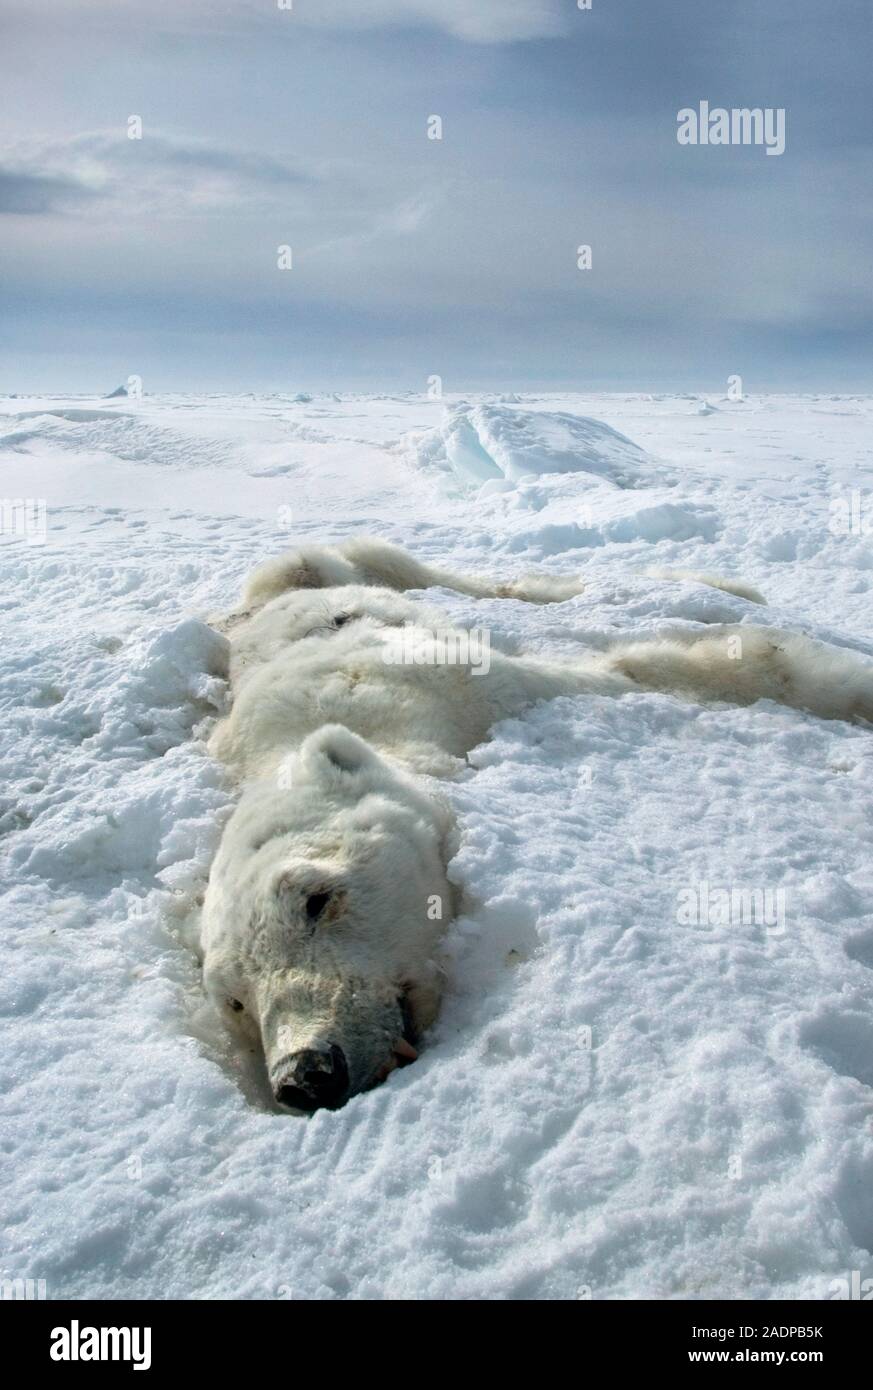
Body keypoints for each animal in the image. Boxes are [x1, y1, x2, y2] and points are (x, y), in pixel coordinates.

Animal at [201, 538, 873, 1112]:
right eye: (234, 996)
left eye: (316, 899)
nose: (306, 1073)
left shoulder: (447, 686)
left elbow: (651, 669)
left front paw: (845, 685)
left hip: (327, 569)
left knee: (419, 569)